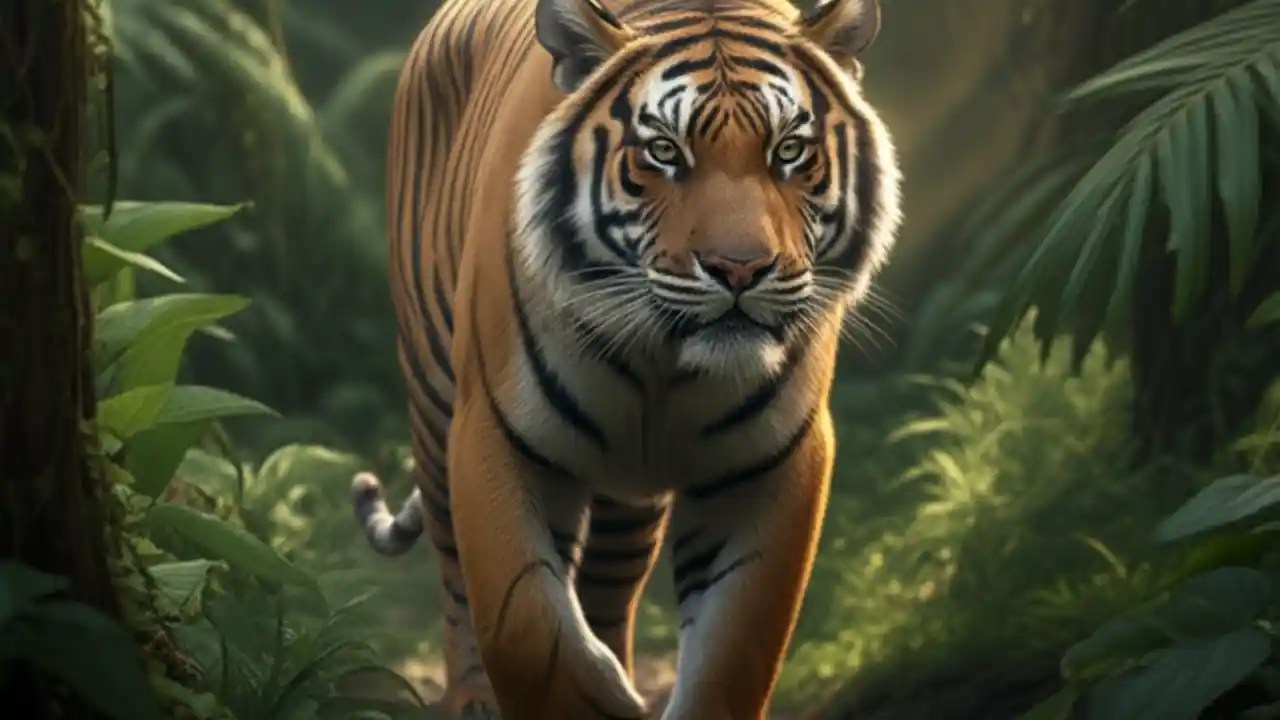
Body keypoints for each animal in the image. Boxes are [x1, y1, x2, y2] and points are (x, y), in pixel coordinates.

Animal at [350, 0, 901, 717]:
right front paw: (584, 693)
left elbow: (733, 654)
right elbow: (525, 623)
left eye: (789, 151)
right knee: (455, 579)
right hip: (434, 402)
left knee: (608, 589)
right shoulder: (493, 434)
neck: (660, 362)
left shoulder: (769, 463)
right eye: (663, 151)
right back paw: (473, 695)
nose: (740, 268)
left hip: (628, 500)